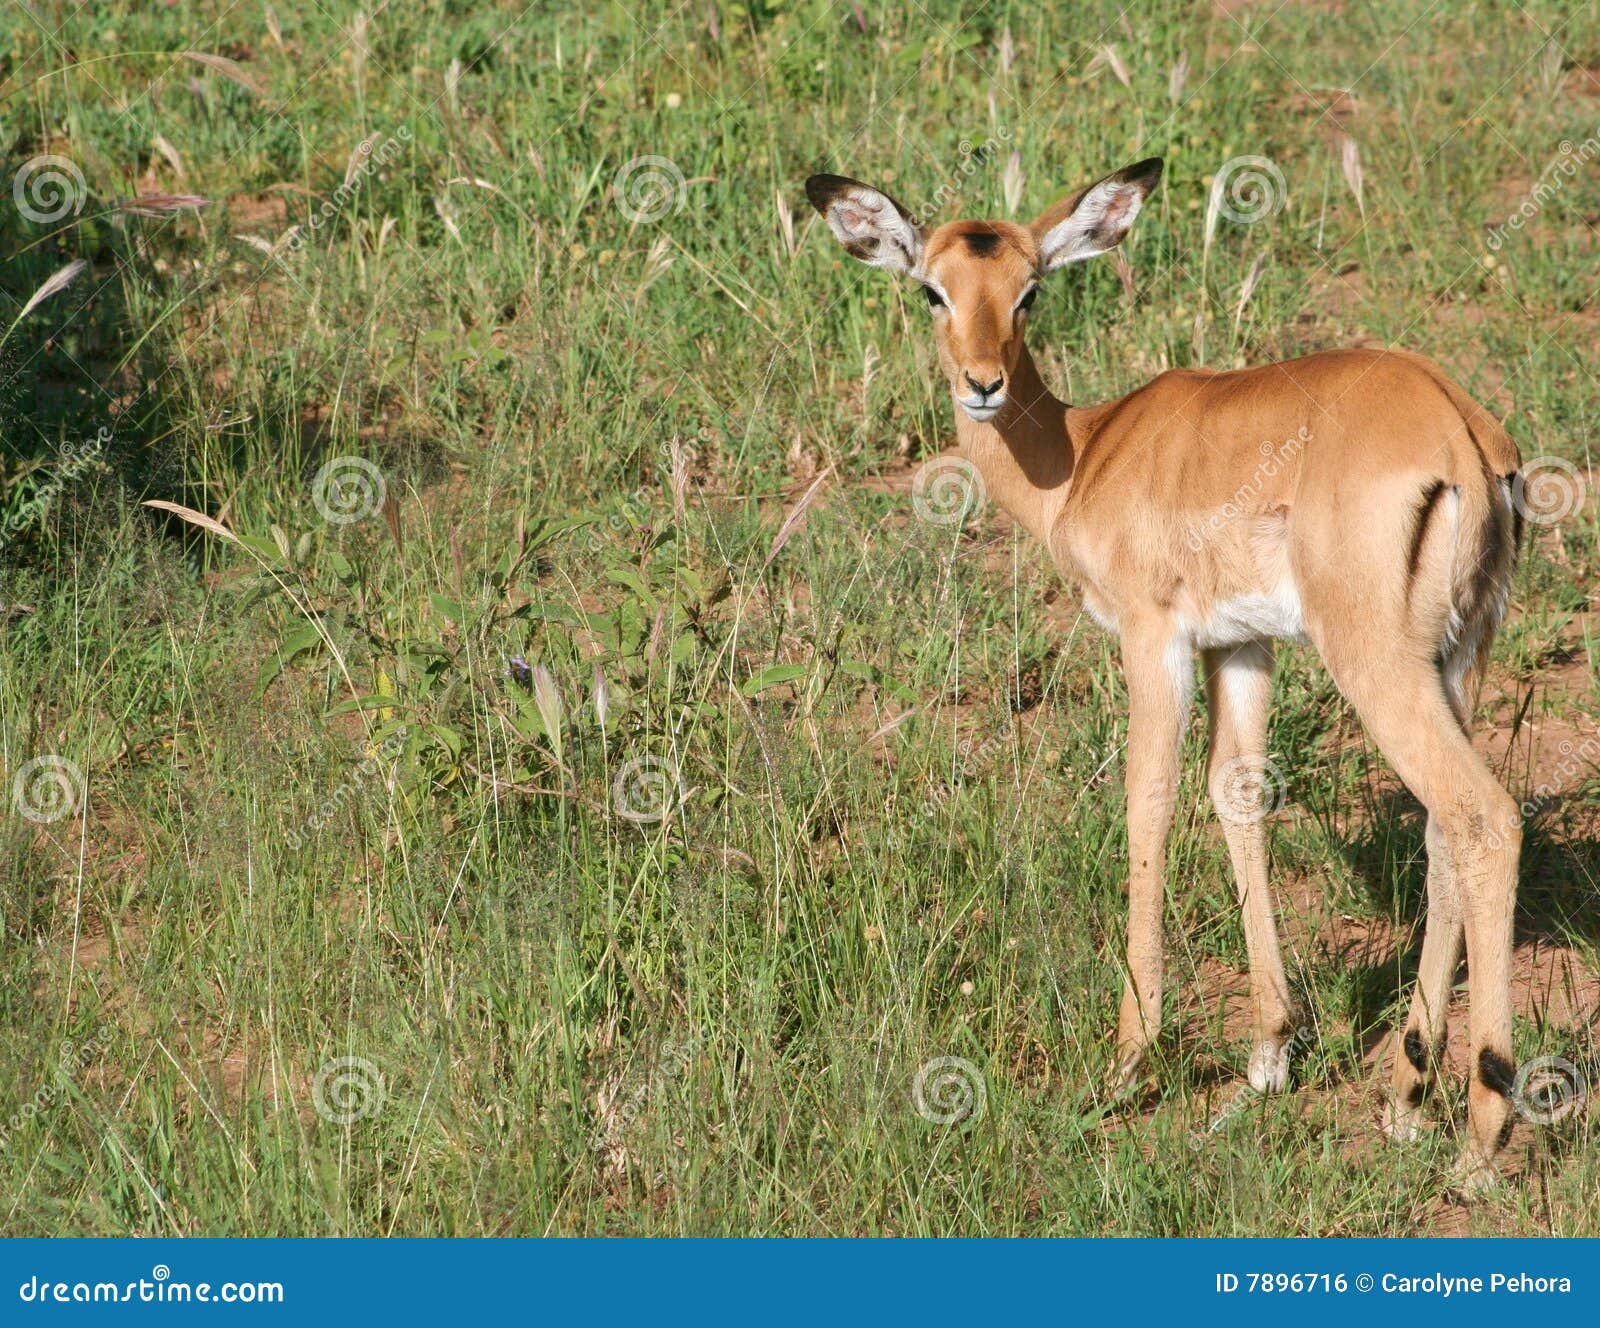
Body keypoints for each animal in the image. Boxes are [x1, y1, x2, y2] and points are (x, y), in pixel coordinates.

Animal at [805, 158, 1524, 1191]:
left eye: (1029, 291)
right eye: (932, 289)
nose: (982, 385)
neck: (1087, 451)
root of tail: (1463, 434)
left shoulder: (1152, 639)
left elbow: (1148, 798)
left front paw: (1127, 1061)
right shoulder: (1241, 646)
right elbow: (1237, 795)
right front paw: (1269, 1052)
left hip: (1377, 663)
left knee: (1484, 816)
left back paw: (1480, 1133)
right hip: (1458, 660)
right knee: (1441, 831)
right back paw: (1402, 1094)